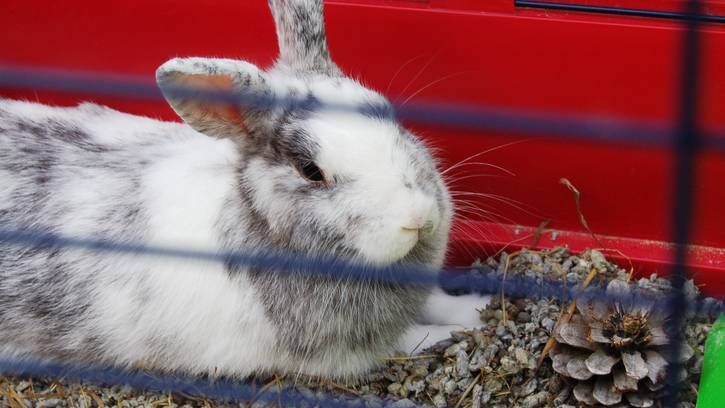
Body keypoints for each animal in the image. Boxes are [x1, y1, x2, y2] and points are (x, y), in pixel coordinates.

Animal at [0, 0, 489, 380]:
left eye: (387, 112)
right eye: (310, 170)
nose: (419, 216)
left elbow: (443, 303)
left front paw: (479, 307)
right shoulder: (352, 352)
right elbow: (419, 338)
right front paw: (462, 331)